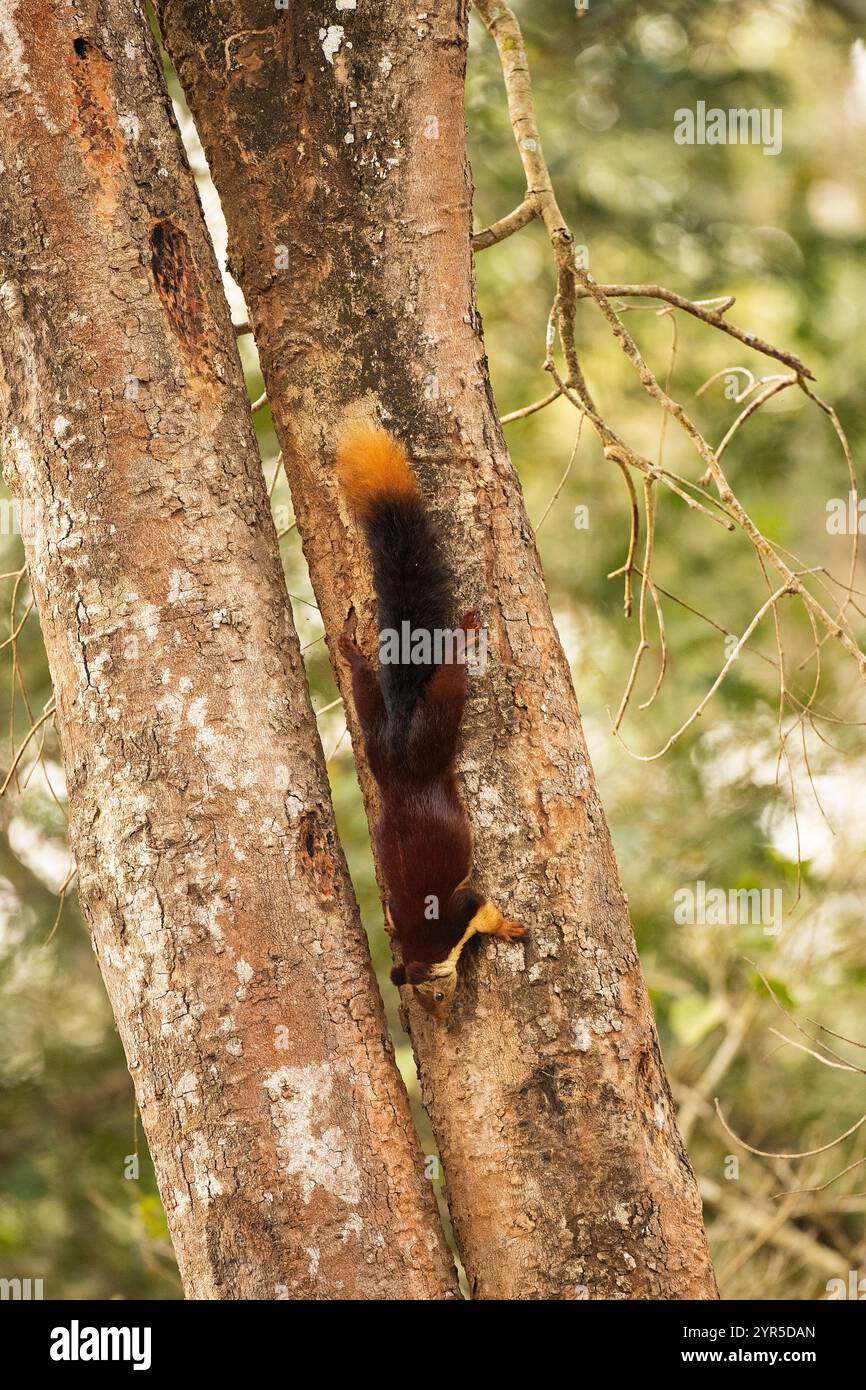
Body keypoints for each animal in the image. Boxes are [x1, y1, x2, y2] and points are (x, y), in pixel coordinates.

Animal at [336, 423, 525, 1021]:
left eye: (438, 992)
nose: (442, 1016)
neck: (426, 940)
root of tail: (401, 748)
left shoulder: (457, 910)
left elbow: (482, 909)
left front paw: (508, 928)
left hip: (431, 728)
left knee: (447, 682)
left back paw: (460, 638)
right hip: (379, 735)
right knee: (367, 690)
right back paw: (351, 651)